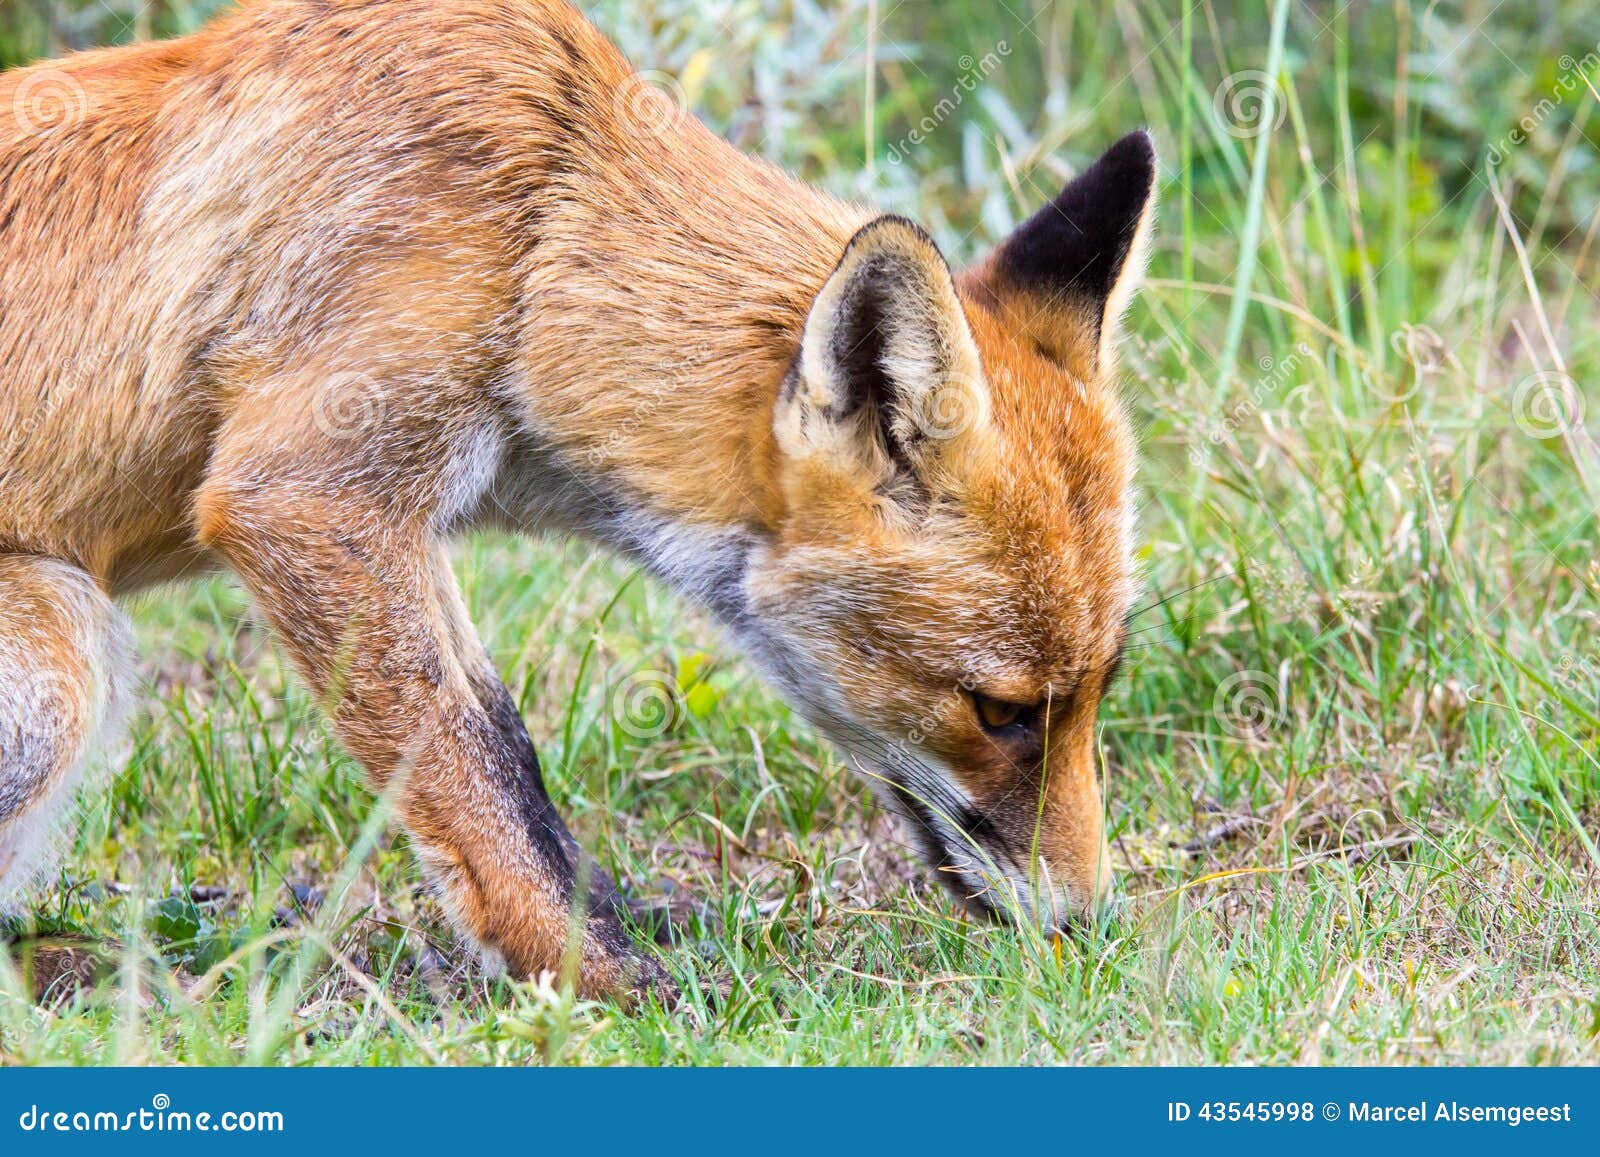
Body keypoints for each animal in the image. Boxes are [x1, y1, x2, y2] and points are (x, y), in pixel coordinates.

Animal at [0, 0, 1154, 1002]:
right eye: (1001, 711)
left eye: (1102, 687)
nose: (1089, 927)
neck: (539, 238)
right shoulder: (304, 492)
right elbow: (474, 777)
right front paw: (596, 980)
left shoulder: (404, 519)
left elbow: (506, 745)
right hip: (65, 648)